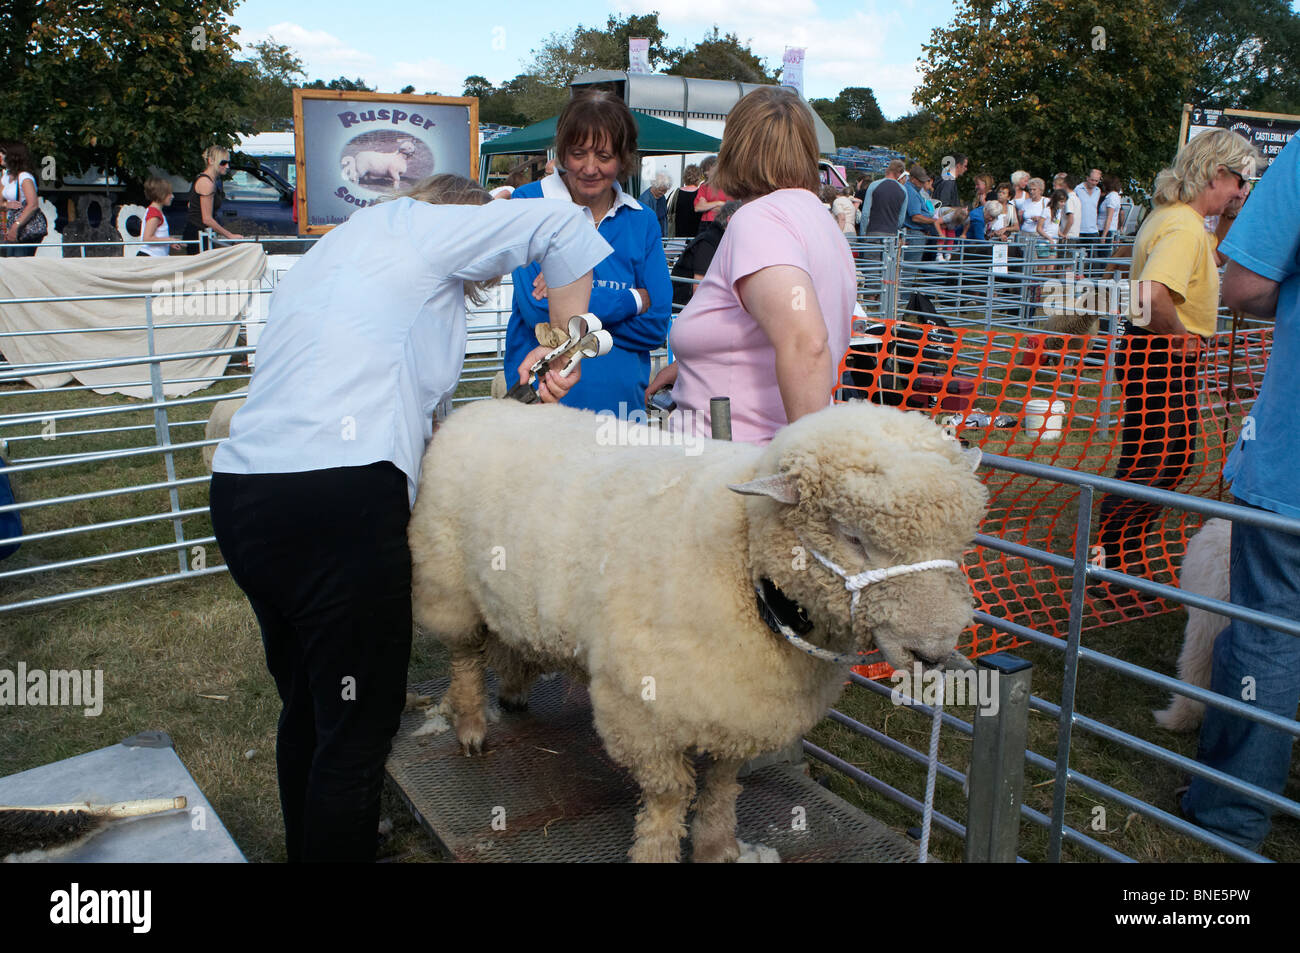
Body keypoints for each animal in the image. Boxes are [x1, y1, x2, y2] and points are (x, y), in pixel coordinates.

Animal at [408, 398, 988, 862]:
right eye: (852, 536)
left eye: (960, 540)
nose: (934, 652)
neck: (744, 558)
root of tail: (482, 404)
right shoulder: (644, 707)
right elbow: (669, 796)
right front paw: (657, 852)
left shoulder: (737, 703)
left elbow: (722, 785)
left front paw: (716, 847)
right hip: (447, 582)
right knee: (464, 656)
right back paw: (470, 725)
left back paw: (513, 688)